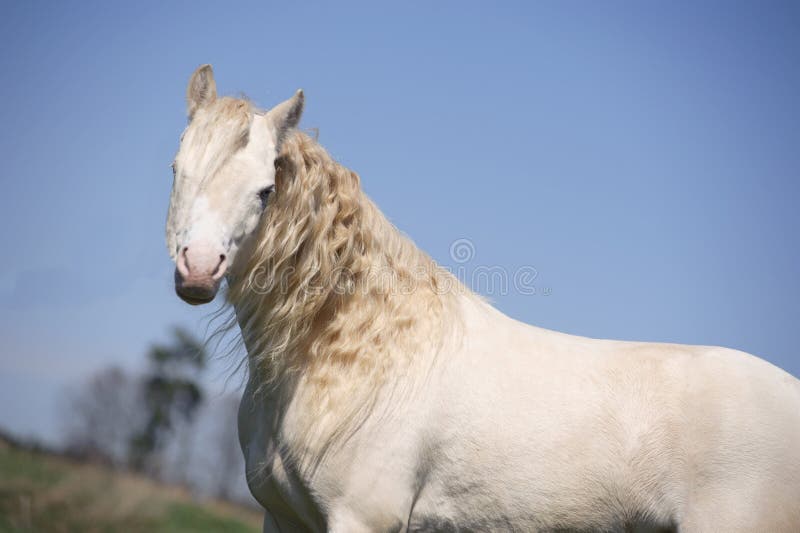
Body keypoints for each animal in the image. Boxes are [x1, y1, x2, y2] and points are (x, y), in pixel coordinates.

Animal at [165, 64, 800, 532]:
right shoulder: (284, 520)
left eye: (265, 190)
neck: (354, 355)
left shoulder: (361, 519)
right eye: (176, 169)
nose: (197, 269)